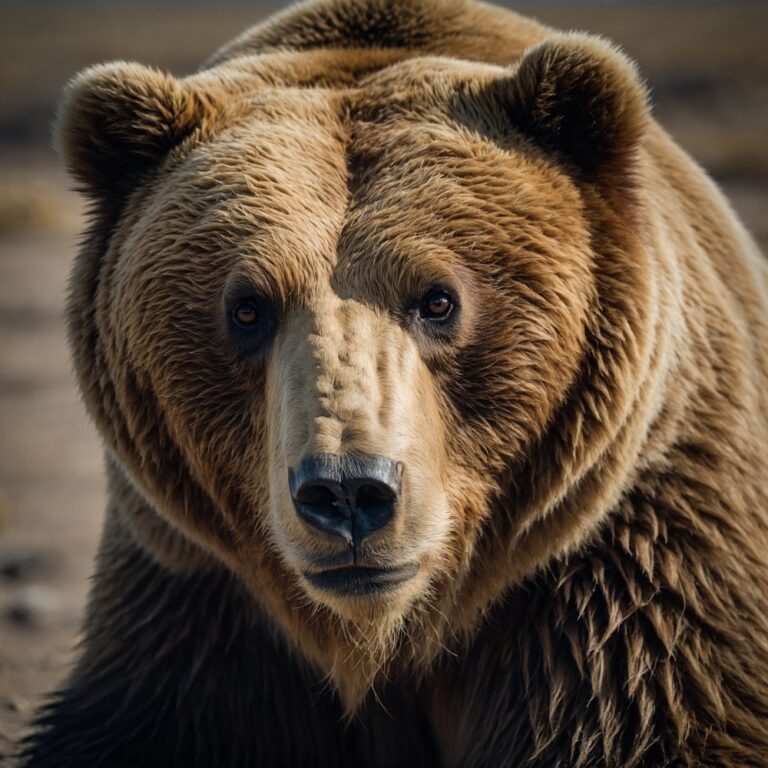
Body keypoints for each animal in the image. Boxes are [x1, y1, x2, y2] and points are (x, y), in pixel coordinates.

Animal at [19, 0, 768, 765]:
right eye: (247, 307)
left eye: (438, 299)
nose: (348, 491)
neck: (381, 632)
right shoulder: (194, 595)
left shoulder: (621, 578)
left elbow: (636, 718)